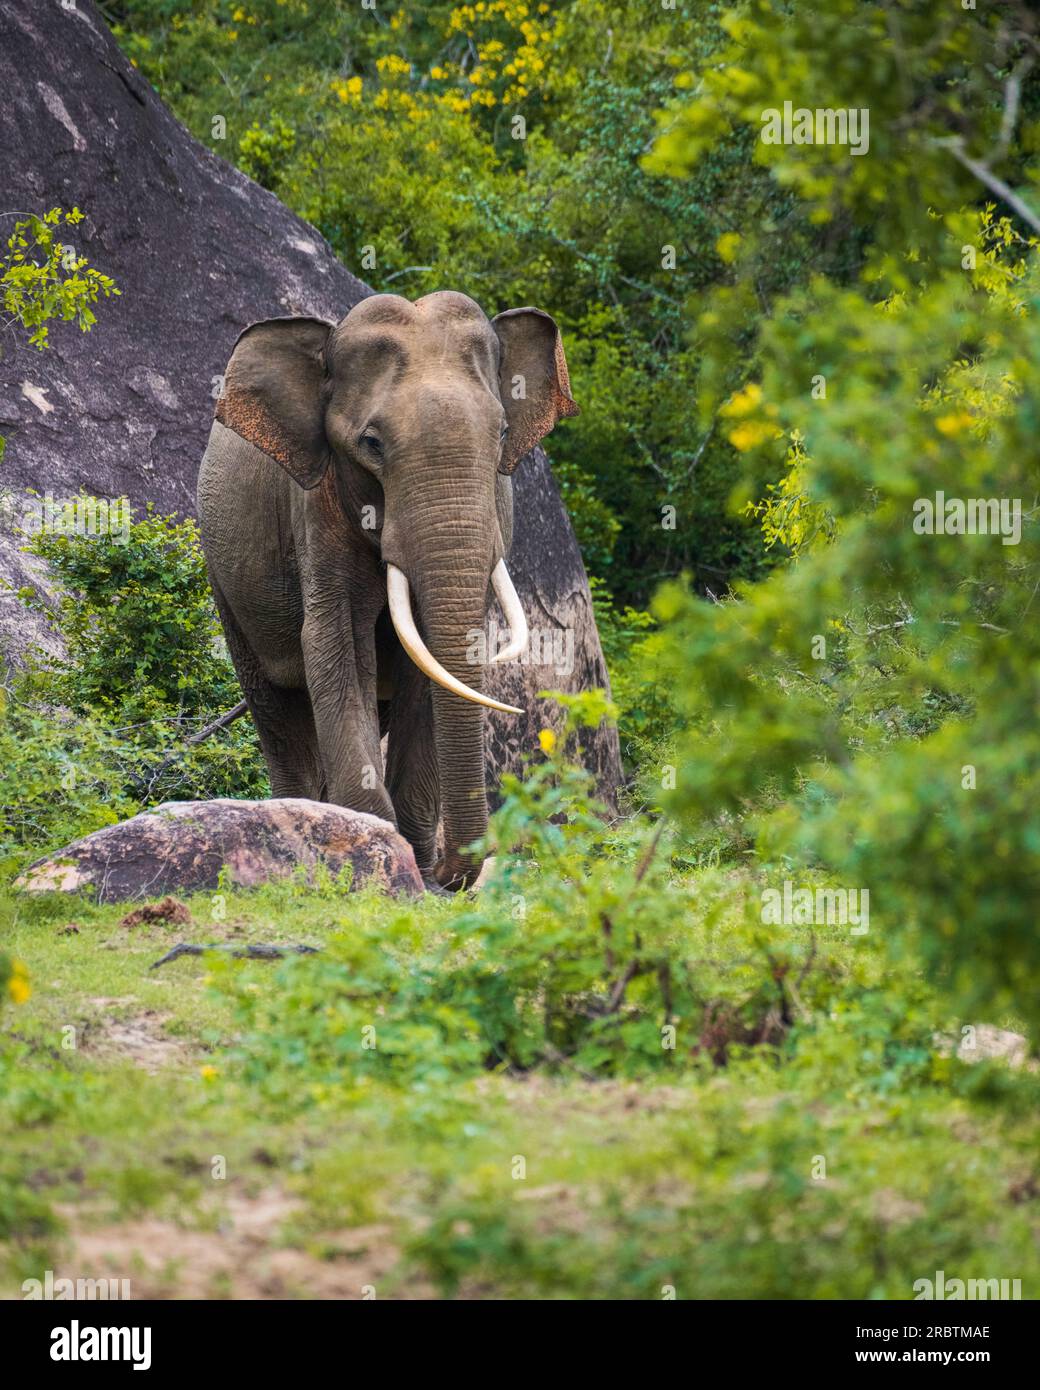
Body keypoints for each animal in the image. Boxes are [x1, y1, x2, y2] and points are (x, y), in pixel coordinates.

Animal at [197, 290, 579, 891]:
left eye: (500, 435)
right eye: (371, 444)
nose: (449, 875)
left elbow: (430, 667)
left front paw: (414, 869)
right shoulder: (319, 507)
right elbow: (337, 647)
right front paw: (380, 864)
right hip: (223, 570)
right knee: (276, 707)